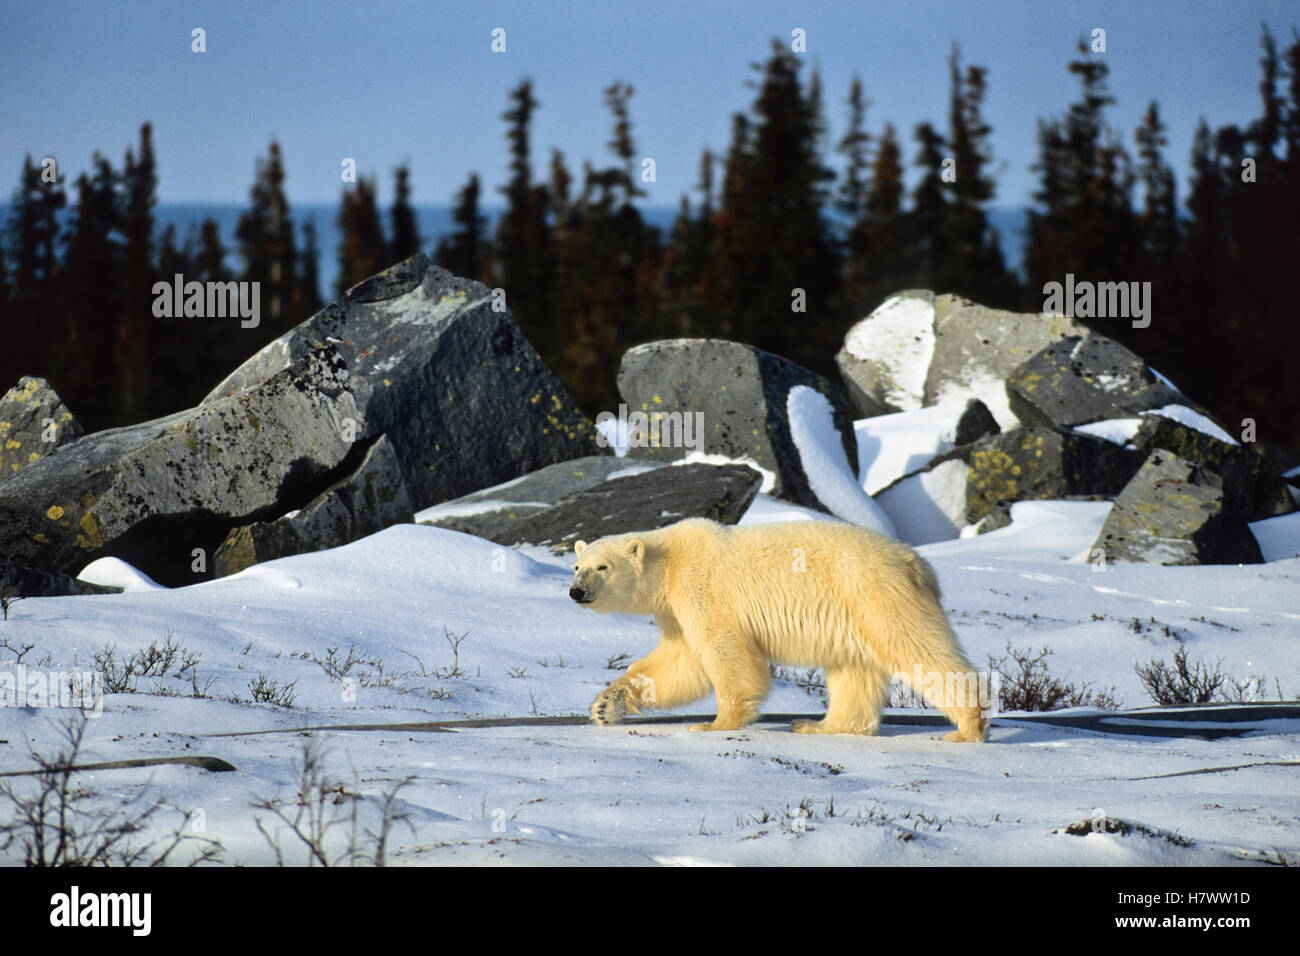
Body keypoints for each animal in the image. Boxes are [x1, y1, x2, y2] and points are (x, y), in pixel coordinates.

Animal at [570, 517, 988, 742]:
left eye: (602, 567)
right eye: (577, 566)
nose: (577, 591)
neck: (670, 561)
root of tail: (917, 563)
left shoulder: (703, 590)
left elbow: (725, 655)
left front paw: (714, 723)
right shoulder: (674, 611)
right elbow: (679, 663)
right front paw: (606, 704)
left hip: (876, 595)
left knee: (919, 650)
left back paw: (967, 726)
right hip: (854, 615)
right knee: (854, 671)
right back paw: (818, 726)